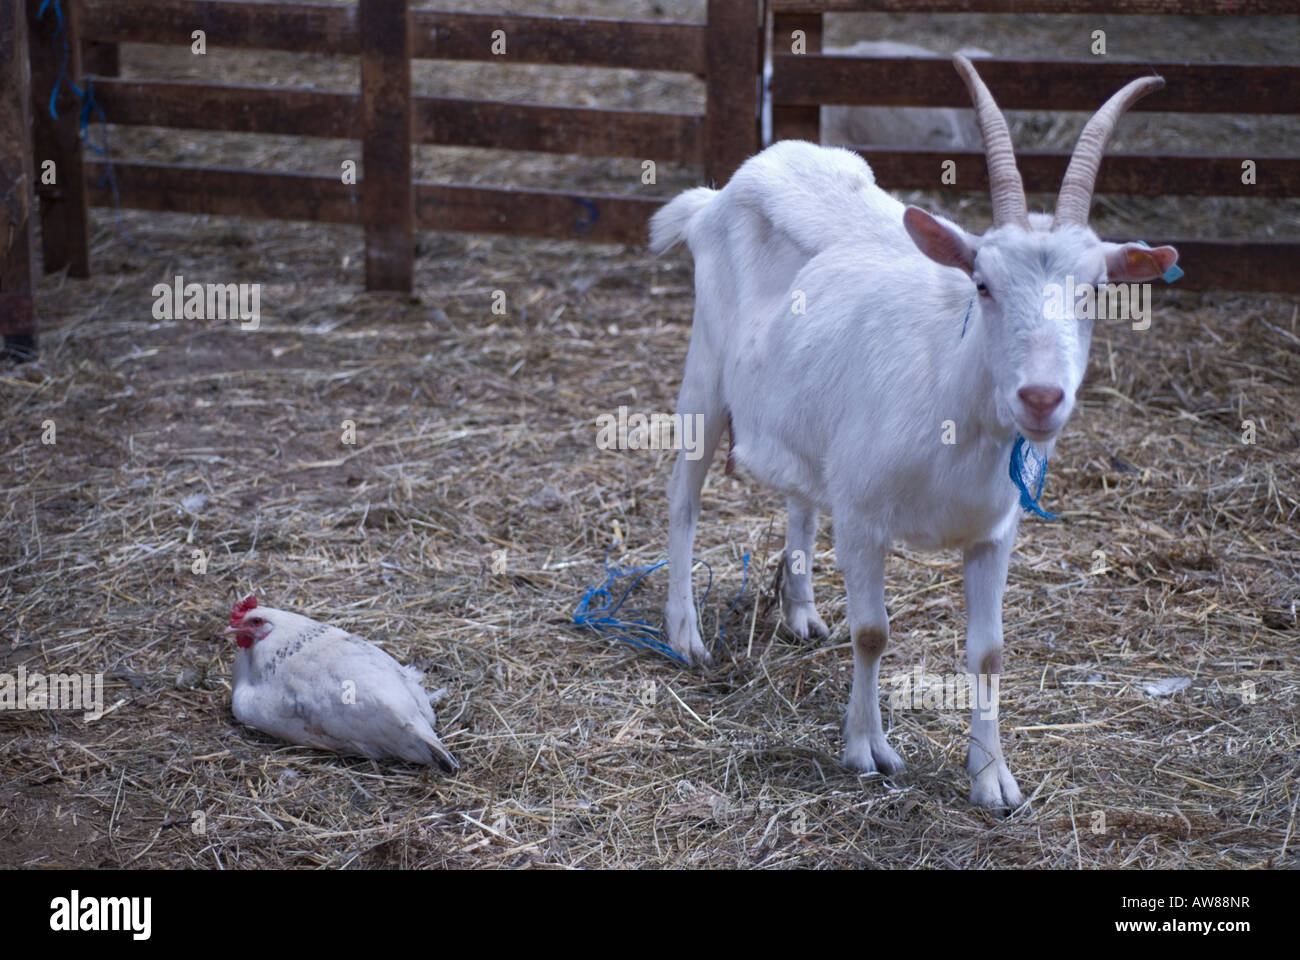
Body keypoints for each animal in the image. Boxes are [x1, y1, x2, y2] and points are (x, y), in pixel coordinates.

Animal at [648, 56, 1178, 808]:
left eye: (1096, 290)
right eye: (982, 284)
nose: (1041, 395)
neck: (953, 403)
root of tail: (723, 193)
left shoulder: (994, 534)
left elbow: (989, 651)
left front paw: (992, 776)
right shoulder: (864, 517)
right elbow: (873, 634)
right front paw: (867, 749)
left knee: (800, 492)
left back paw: (800, 612)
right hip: (707, 367)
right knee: (684, 495)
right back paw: (687, 634)